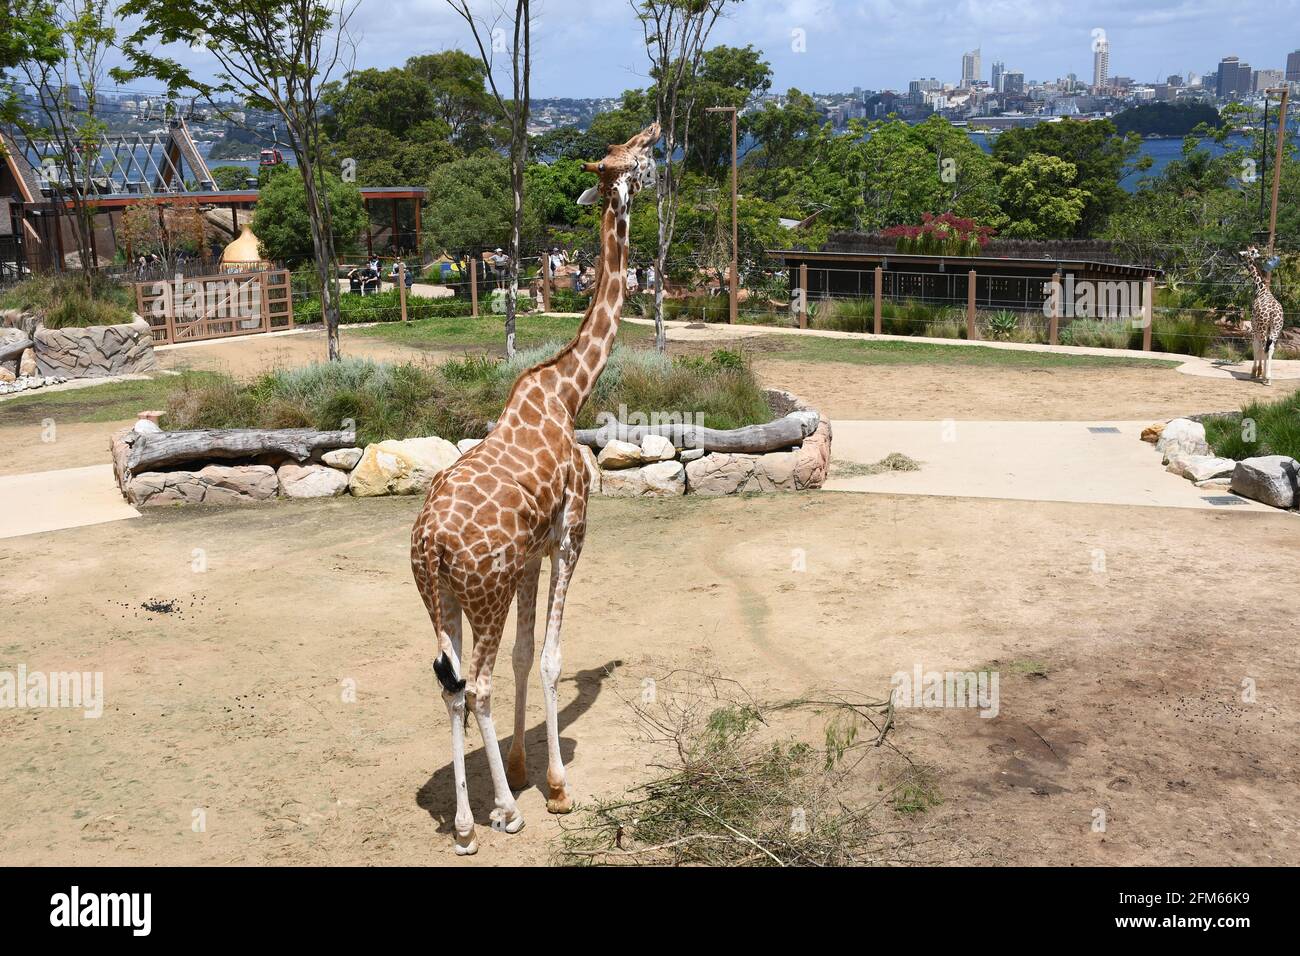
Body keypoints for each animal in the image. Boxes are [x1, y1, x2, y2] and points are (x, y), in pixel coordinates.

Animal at [410, 123, 660, 855]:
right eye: (640, 157)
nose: (661, 143)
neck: (569, 395)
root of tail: (432, 542)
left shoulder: (528, 558)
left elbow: (526, 657)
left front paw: (521, 770)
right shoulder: (572, 536)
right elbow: (547, 658)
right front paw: (553, 788)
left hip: (439, 596)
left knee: (453, 686)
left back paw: (467, 824)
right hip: (482, 592)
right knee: (479, 685)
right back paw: (503, 814)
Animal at [1239, 246, 1285, 386]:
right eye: (1254, 251)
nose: (1261, 256)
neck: (1261, 290)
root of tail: (1274, 312)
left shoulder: (1254, 326)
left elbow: (1256, 346)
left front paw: (1255, 372)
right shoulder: (1267, 328)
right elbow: (1261, 347)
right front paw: (1260, 372)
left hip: (1263, 327)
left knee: (1265, 346)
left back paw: (1267, 378)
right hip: (1276, 328)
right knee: (1270, 347)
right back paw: (1268, 377)